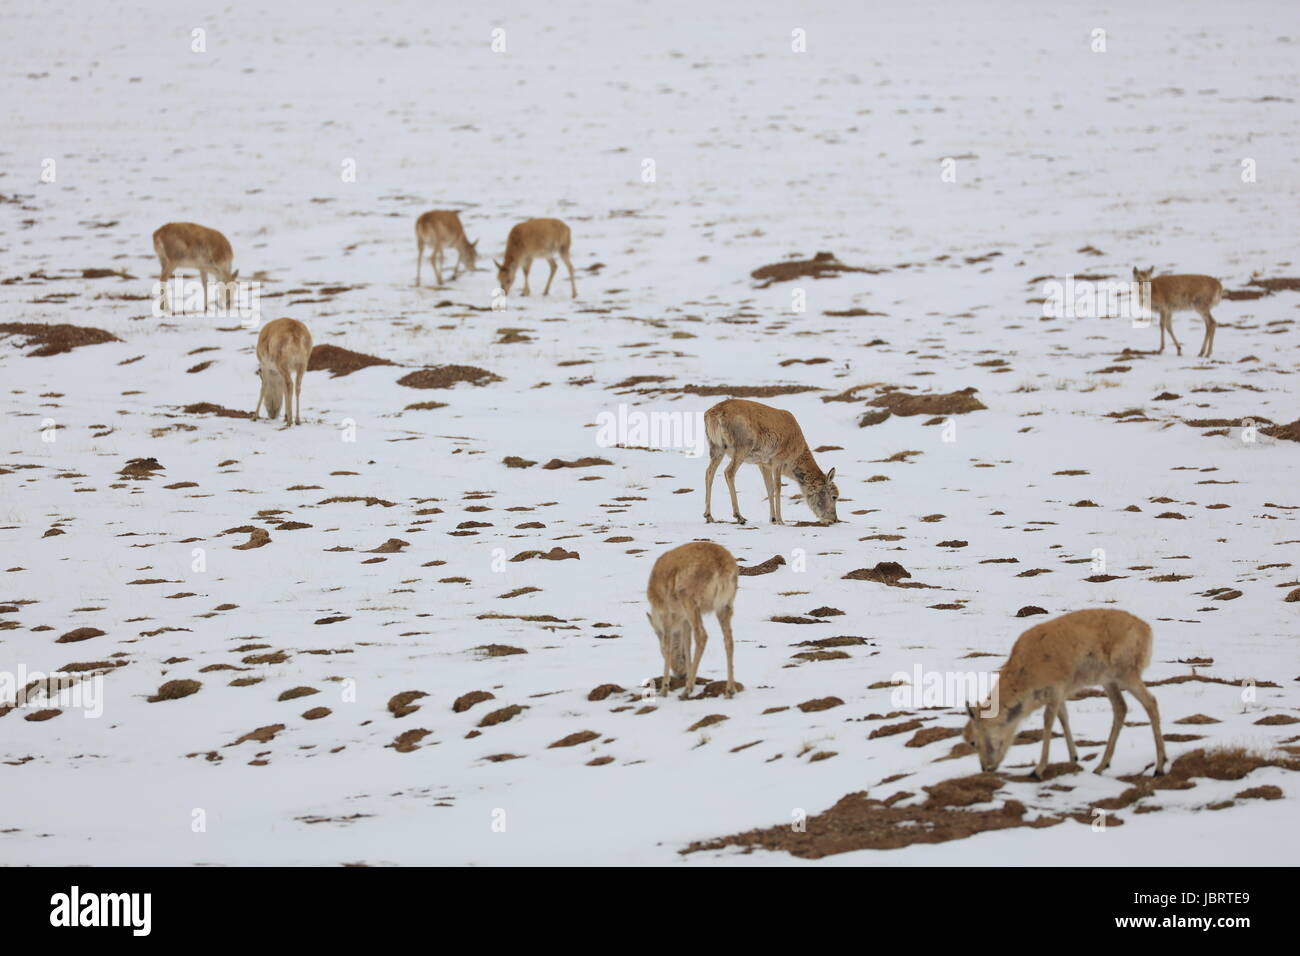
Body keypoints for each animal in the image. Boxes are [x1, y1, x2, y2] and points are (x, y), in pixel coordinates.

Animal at [646, 541, 739, 699]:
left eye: (659, 647)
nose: (680, 674)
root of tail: (721, 564)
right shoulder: (684, 620)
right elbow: (687, 644)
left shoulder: (667, 613)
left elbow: (669, 645)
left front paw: (664, 689)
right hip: (725, 605)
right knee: (728, 640)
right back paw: (729, 690)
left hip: (689, 600)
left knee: (702, 636)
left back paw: (686, 691)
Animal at [703, 398, 839, 526]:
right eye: (834, 496)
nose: (834, 519)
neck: (795, 458)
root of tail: (713, 414)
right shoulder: (778, 460)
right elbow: (778, 488)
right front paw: (780, 520)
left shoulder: (763, 464)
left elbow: (769, 488)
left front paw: (772, 519)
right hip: (742, 447)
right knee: (729, 472)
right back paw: (739, 516)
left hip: (716, 448)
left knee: (709, 472)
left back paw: (708, 516)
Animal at [962, 608, 1166, 779]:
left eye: (972, 741)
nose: (985, 768)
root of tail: (1147, 630)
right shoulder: (1058, 694)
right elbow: (1063, 718)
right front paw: (1073, 758)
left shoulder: (1056, 689)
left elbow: (1048, 720)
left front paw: (1038, 770)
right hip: (1108, 680)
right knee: (1121, 708)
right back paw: (1101, 765)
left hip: (1125, 674)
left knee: (1151, 702)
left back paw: (1159, 767)